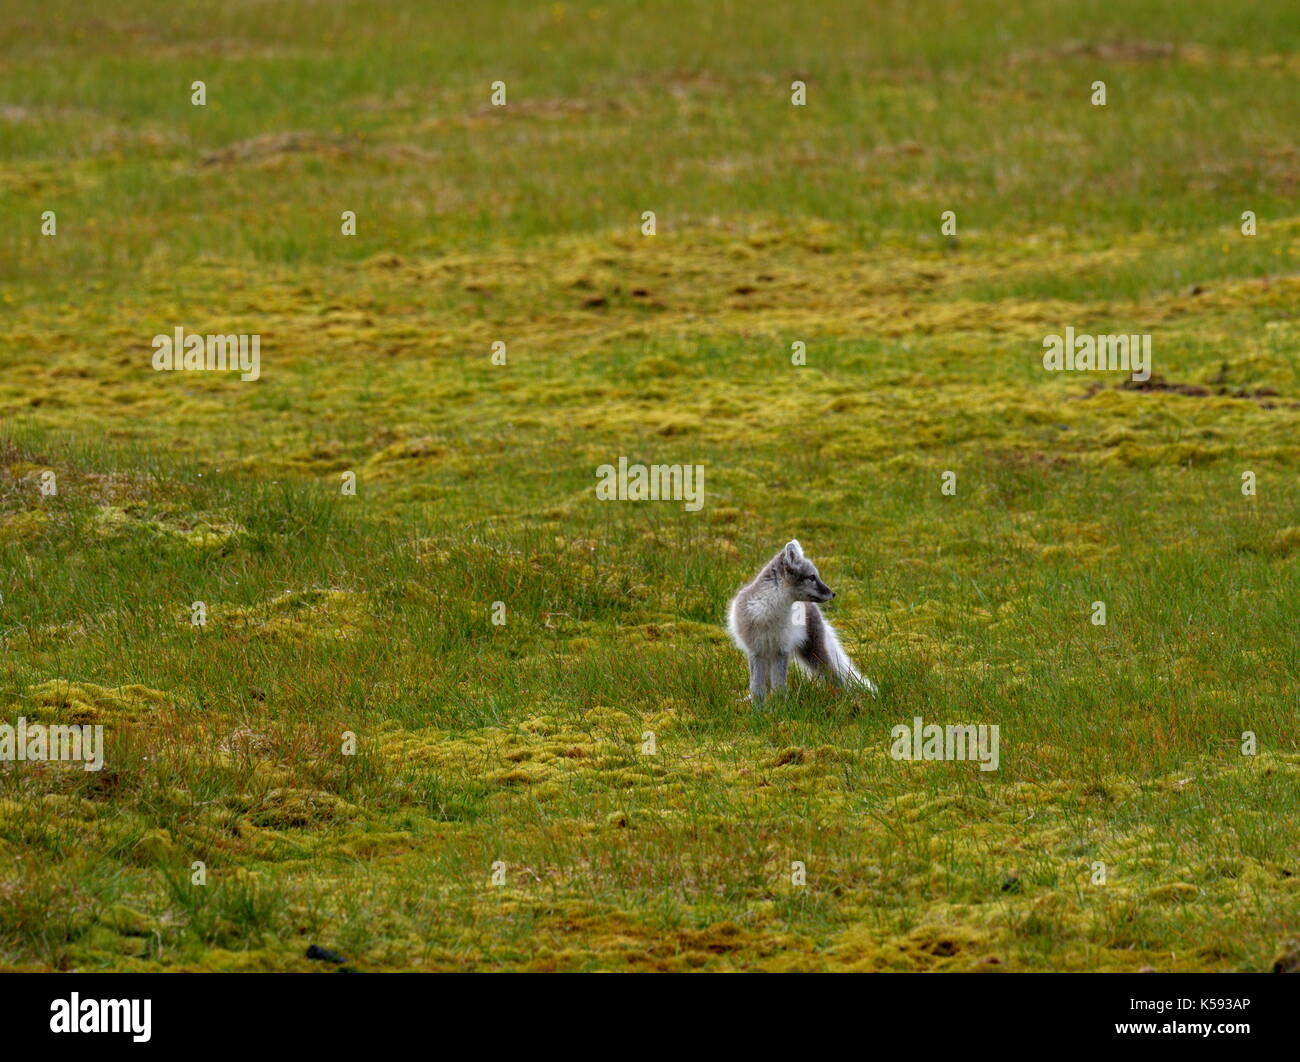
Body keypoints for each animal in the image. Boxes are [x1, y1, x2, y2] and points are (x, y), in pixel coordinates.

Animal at [726, 539, 878, 705]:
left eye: (816, 576)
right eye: (811, 577)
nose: (833, 594)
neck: (768, 610)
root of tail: (813, 608)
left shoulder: (781, 651)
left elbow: (779, 686)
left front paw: (780, 706)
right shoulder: (756, 651)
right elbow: (757, 688)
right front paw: (758, 708)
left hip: (813, 652)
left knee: (835, 675)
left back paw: (845, 698)